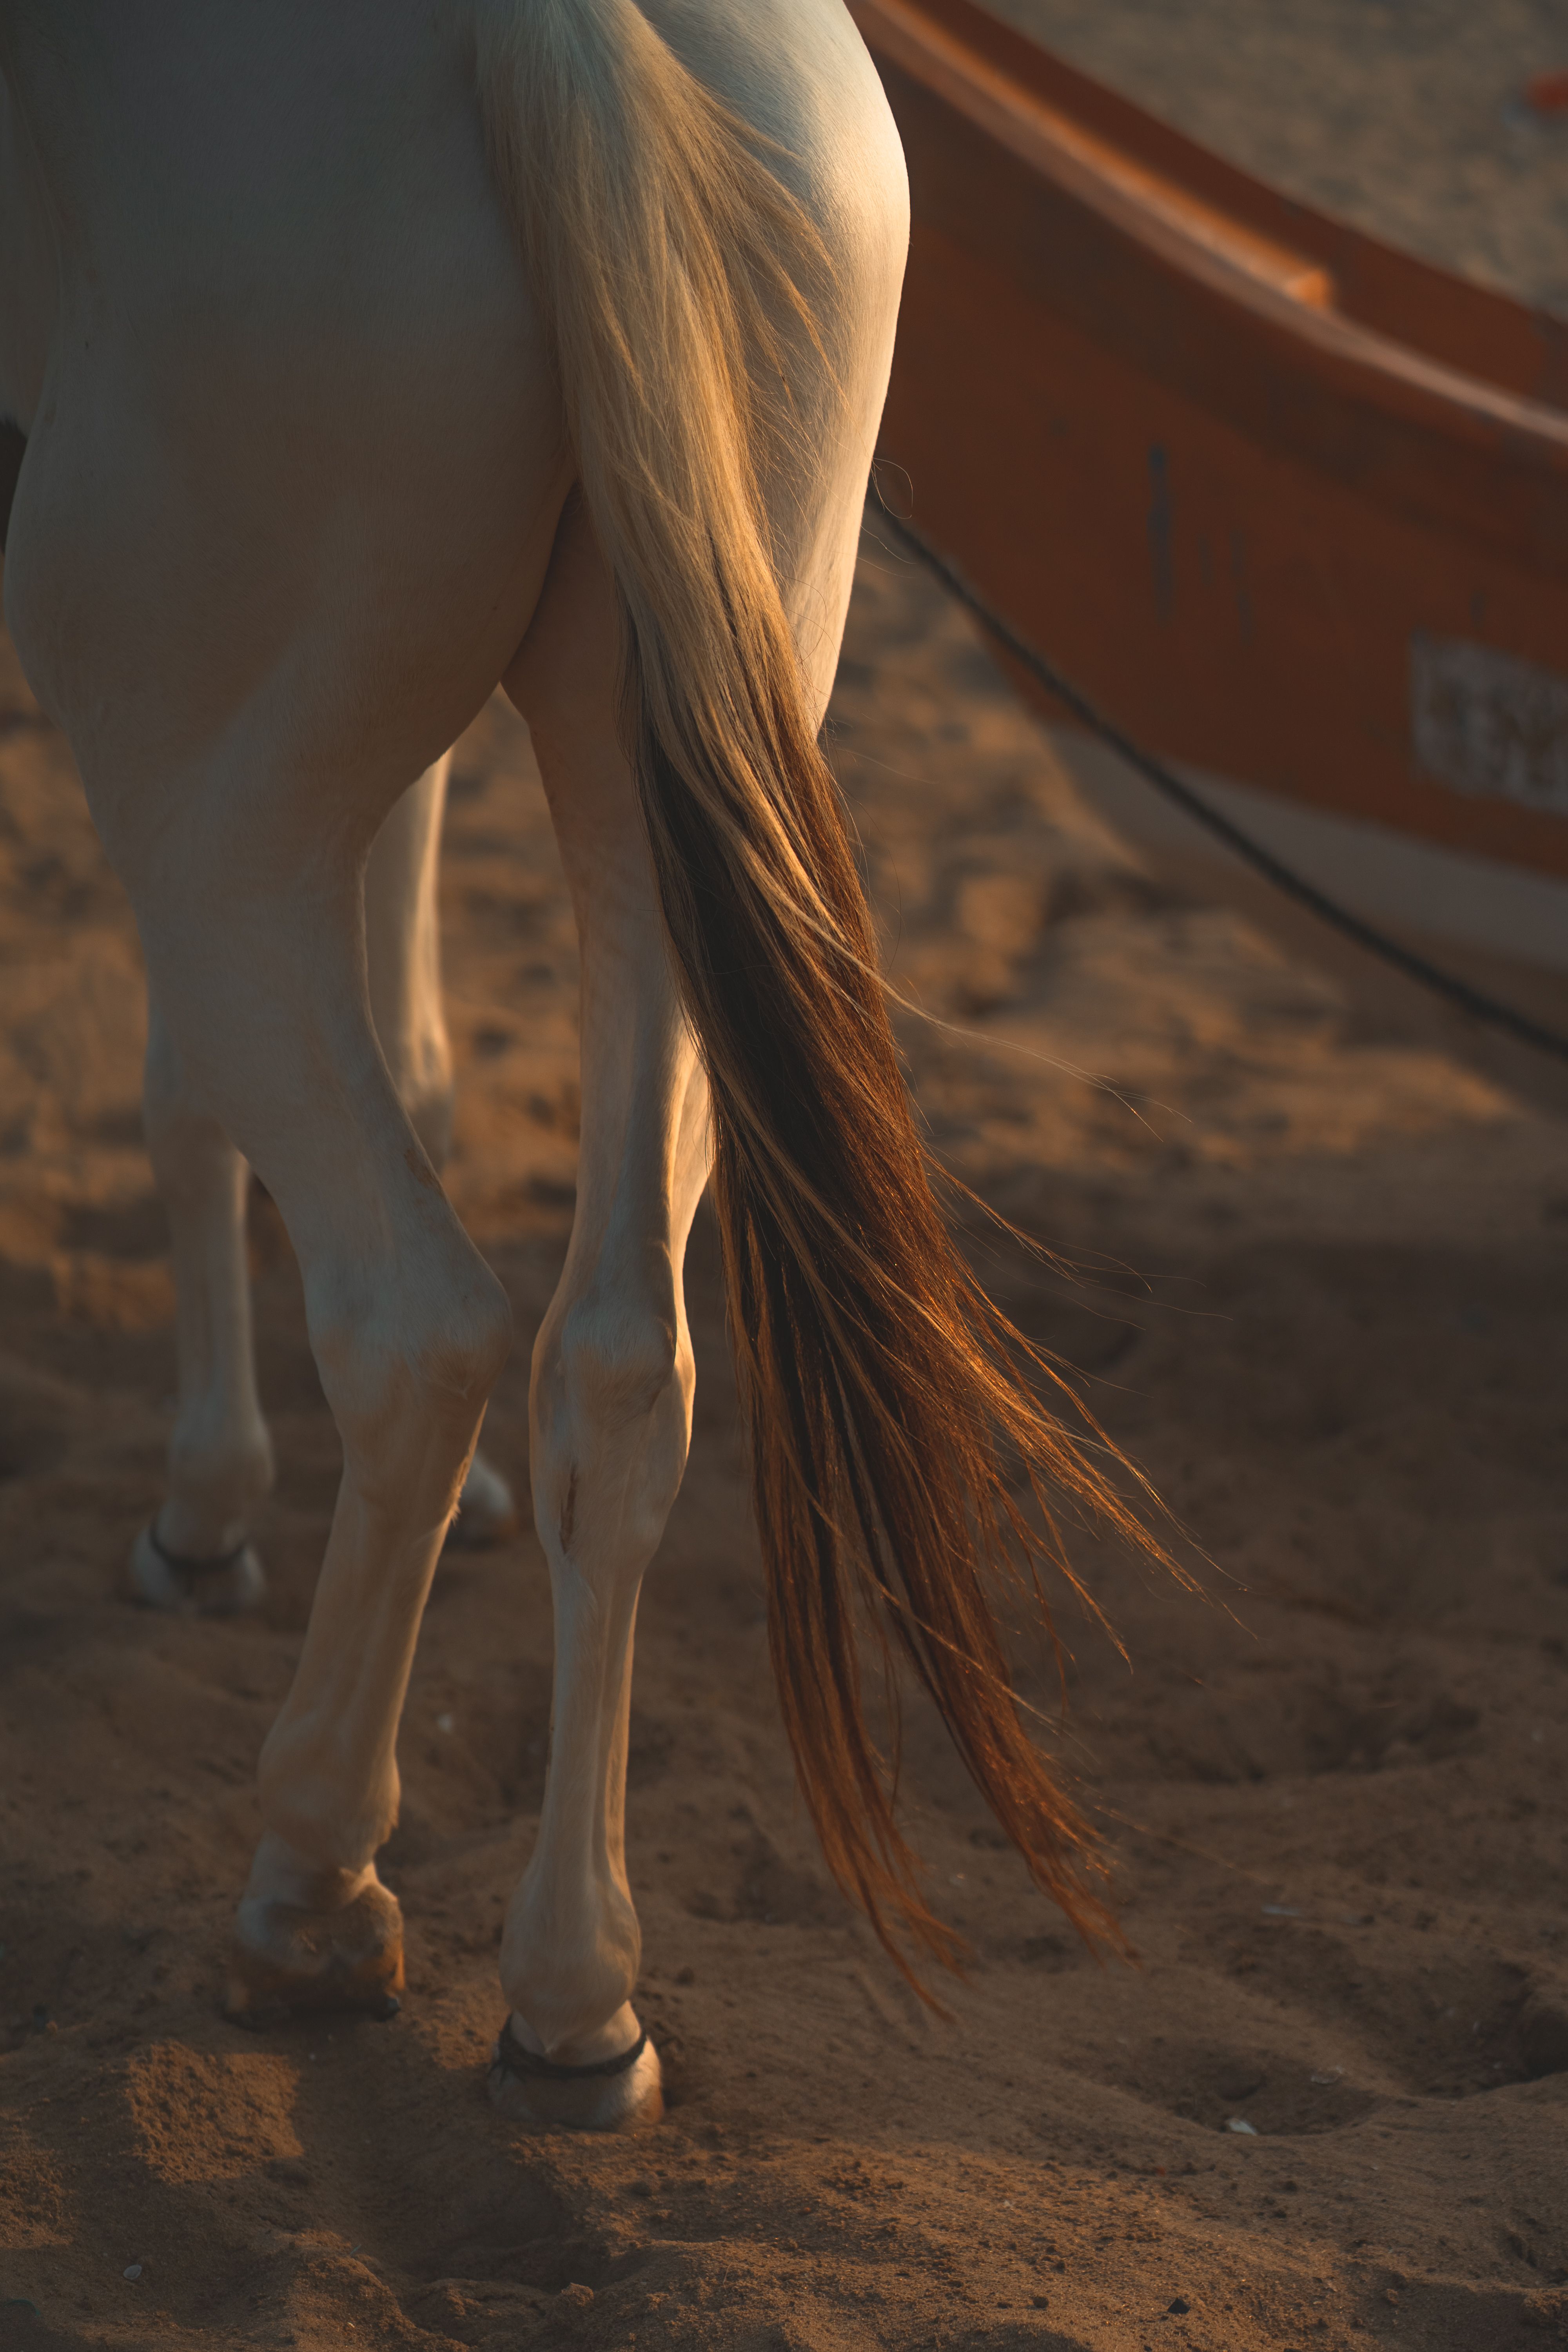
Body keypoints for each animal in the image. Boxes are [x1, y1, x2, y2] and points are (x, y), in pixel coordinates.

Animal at [0, 0, 1148, 2131]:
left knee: (417, 1316)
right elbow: (408, 1057)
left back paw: (312, 1884)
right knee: (617, 1358)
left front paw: (206, 1506)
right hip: (657, 775)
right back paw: (572, 1997)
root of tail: (536, 24)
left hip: (198, 779)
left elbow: (193, 1095)